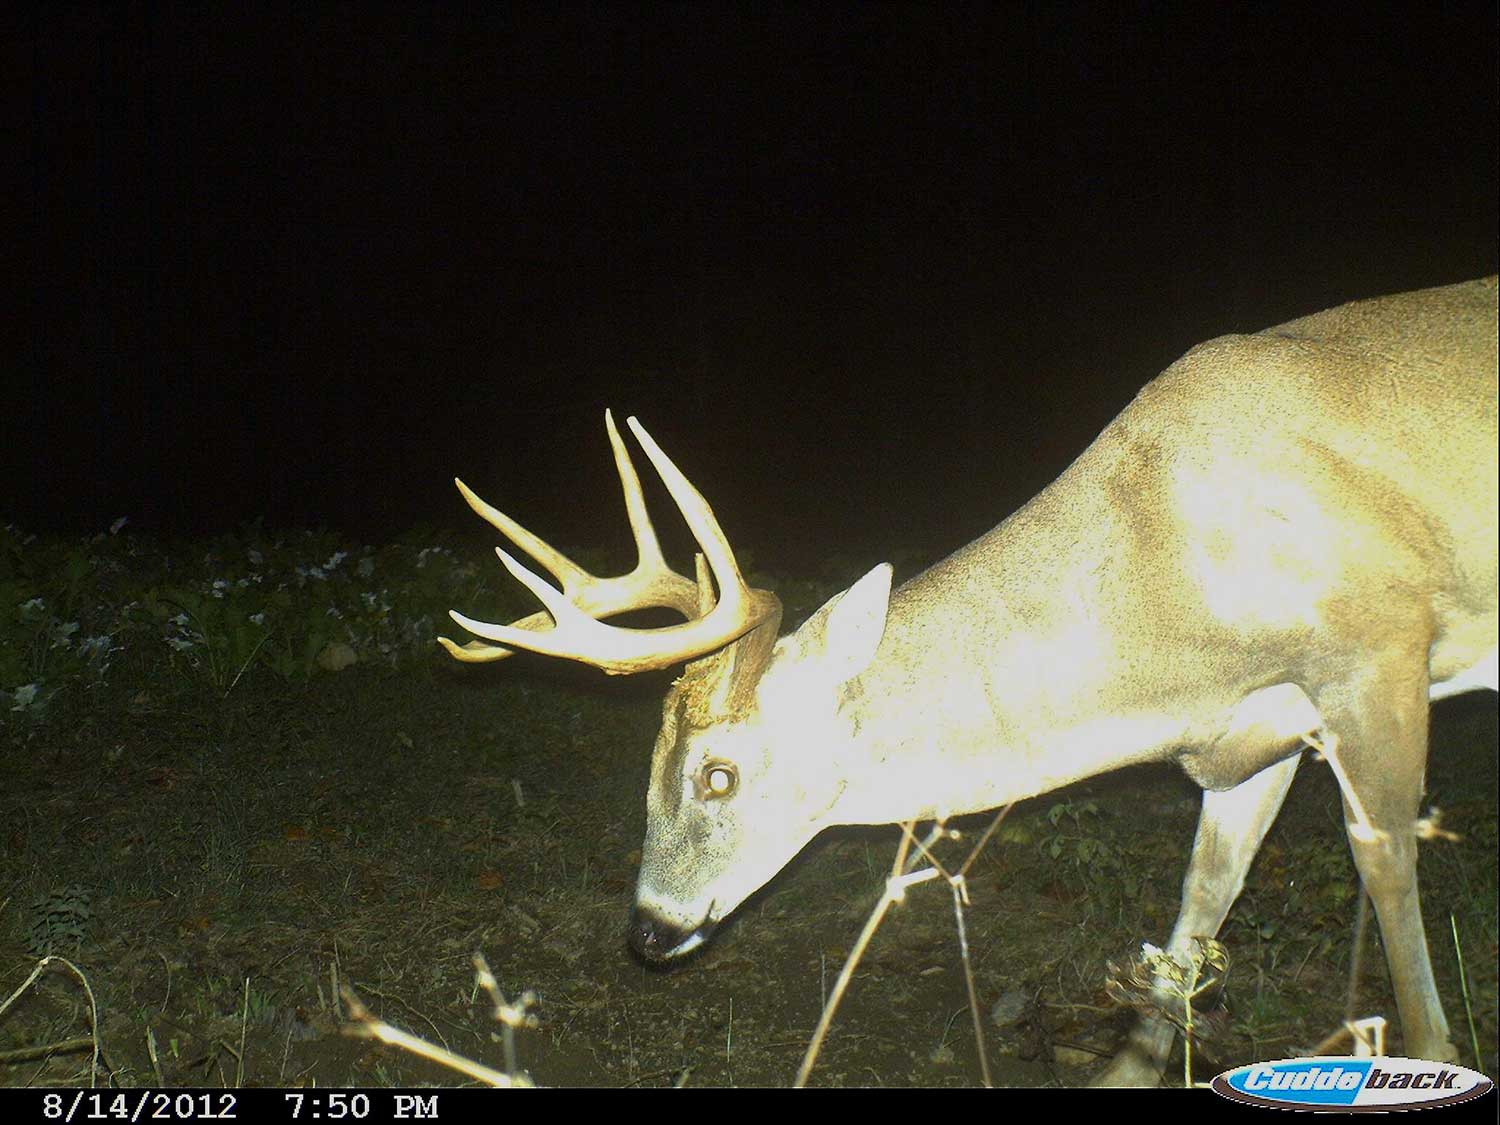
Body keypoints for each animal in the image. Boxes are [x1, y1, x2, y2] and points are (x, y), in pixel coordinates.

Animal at [441, 277, 1497, 1085]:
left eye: (719, 772)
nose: (650, 930)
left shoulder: (1379, 650)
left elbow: (1387, 872)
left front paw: (1435, 1048)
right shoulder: (1254, 734)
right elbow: (1201, 905)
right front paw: (1129, 1066)